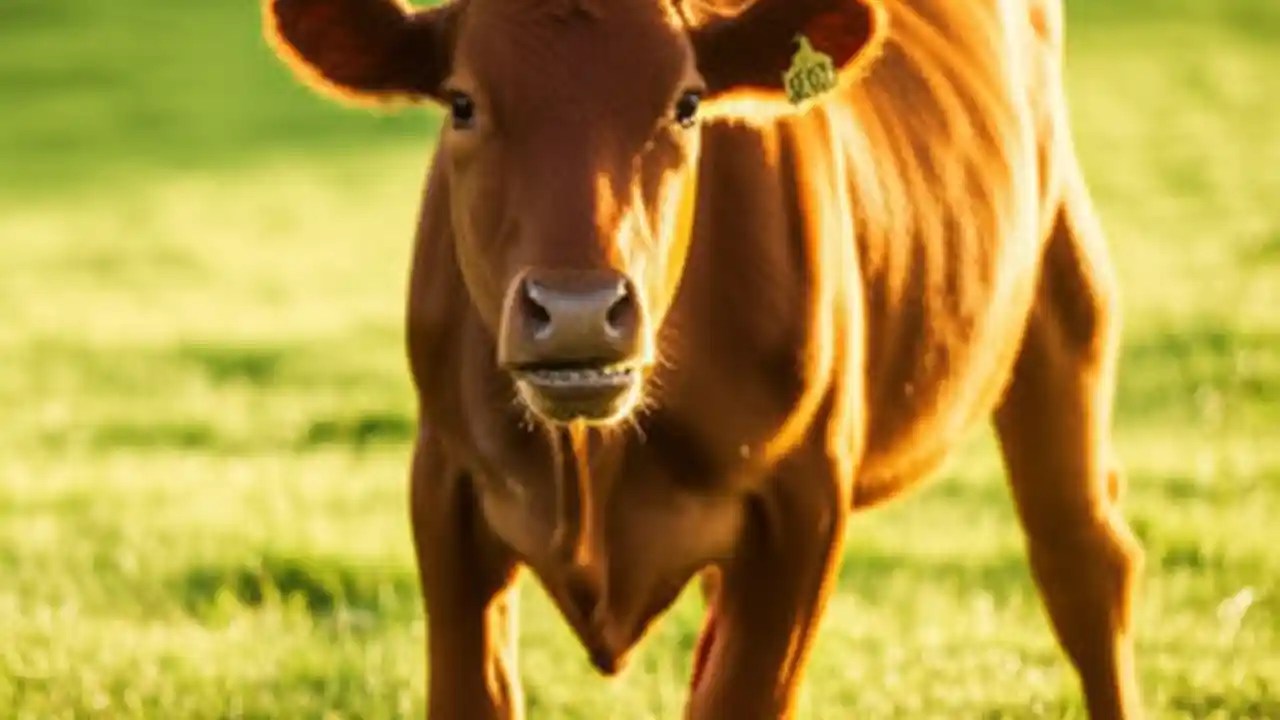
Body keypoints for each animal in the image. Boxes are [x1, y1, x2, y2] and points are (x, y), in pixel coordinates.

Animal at [263, 0, 1145, 717]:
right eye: (462, 103)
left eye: (686, 104)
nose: (578, 313)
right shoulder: (444, 485)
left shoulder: (802, 507)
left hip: (1065, 291)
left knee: (1084, 566)